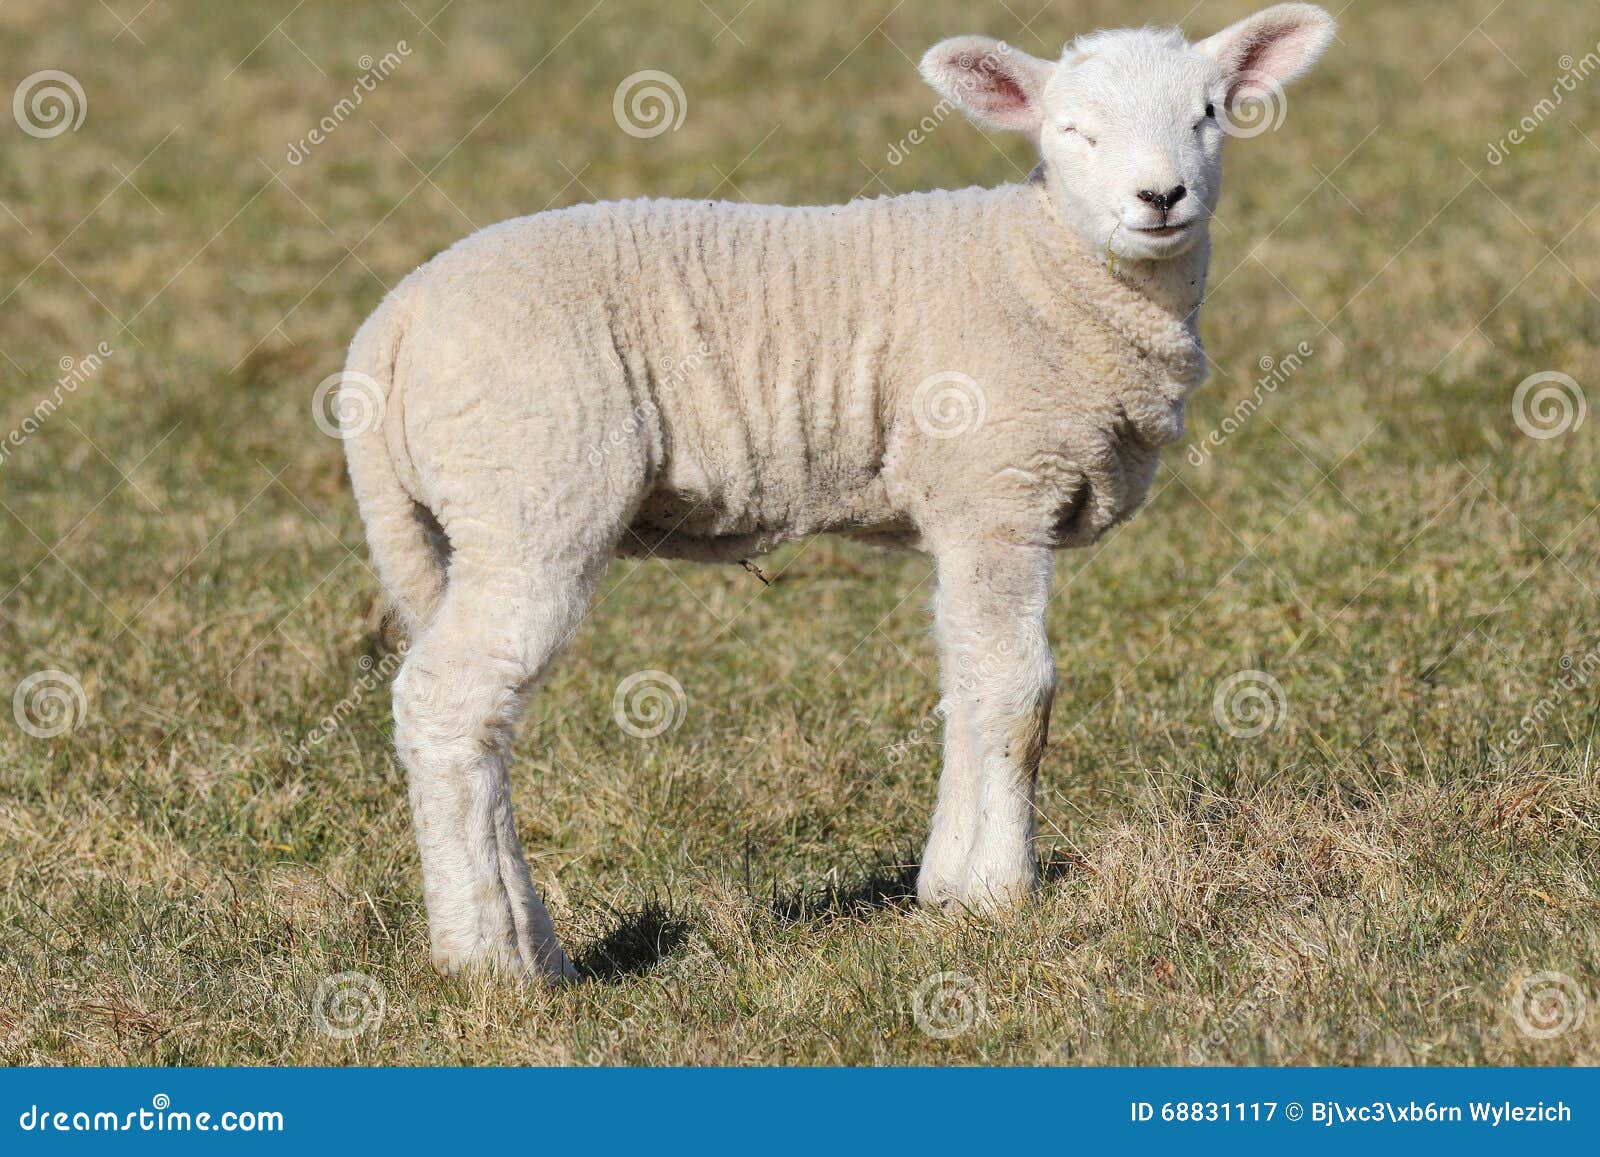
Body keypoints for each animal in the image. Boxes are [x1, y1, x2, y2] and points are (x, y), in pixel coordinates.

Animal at [340, 4, 1336, 981]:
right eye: (1072, 131)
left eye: (1209, 114)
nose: (1161, 198)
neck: (1040, 269)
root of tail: (391, 323)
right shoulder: (999, 491)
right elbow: (1018, 694)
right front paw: (1003, 892)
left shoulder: (961, 508)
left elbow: (964, 682)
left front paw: (947, 886)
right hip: (533, 498)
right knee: (446, 703)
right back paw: (485, 960)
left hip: (470, 520)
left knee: (482, 721)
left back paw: (534, 944)